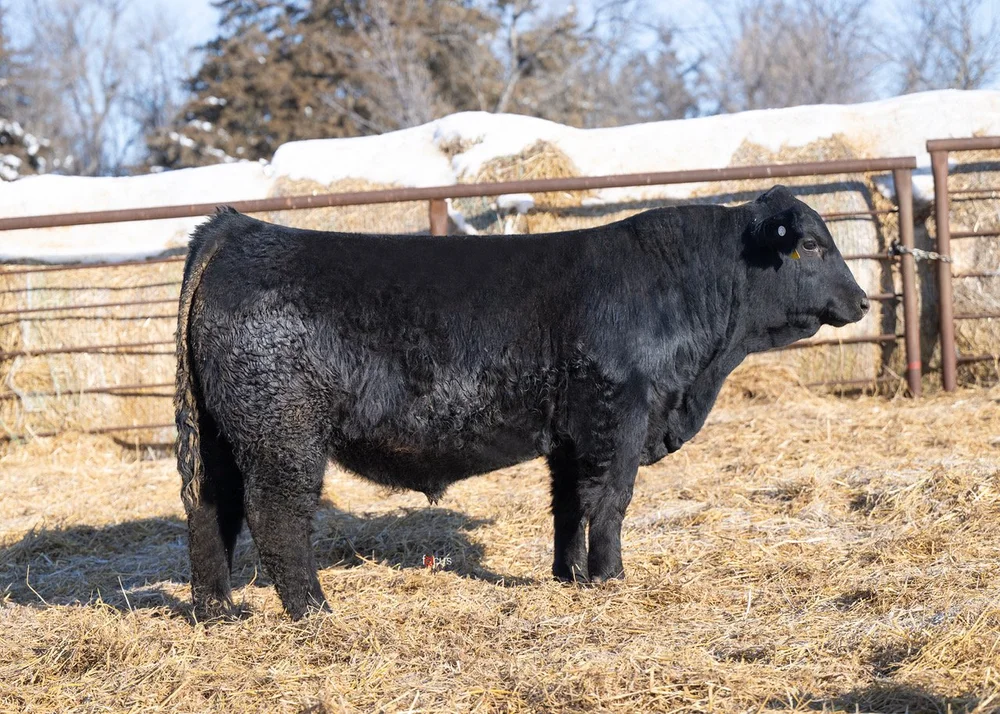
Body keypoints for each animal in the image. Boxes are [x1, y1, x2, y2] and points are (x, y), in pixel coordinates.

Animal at [174, 185, 869, 620]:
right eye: (811, 245)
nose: (863, 300)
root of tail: (238, 227)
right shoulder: (621, 418)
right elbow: (612, 502)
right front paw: (612, 578)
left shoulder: (573, 434)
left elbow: (570, 505)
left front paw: (571, 577)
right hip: (284, 438)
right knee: (277, 517)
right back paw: (315, 611)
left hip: (220, 438)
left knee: (211, 510)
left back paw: (220, 612)